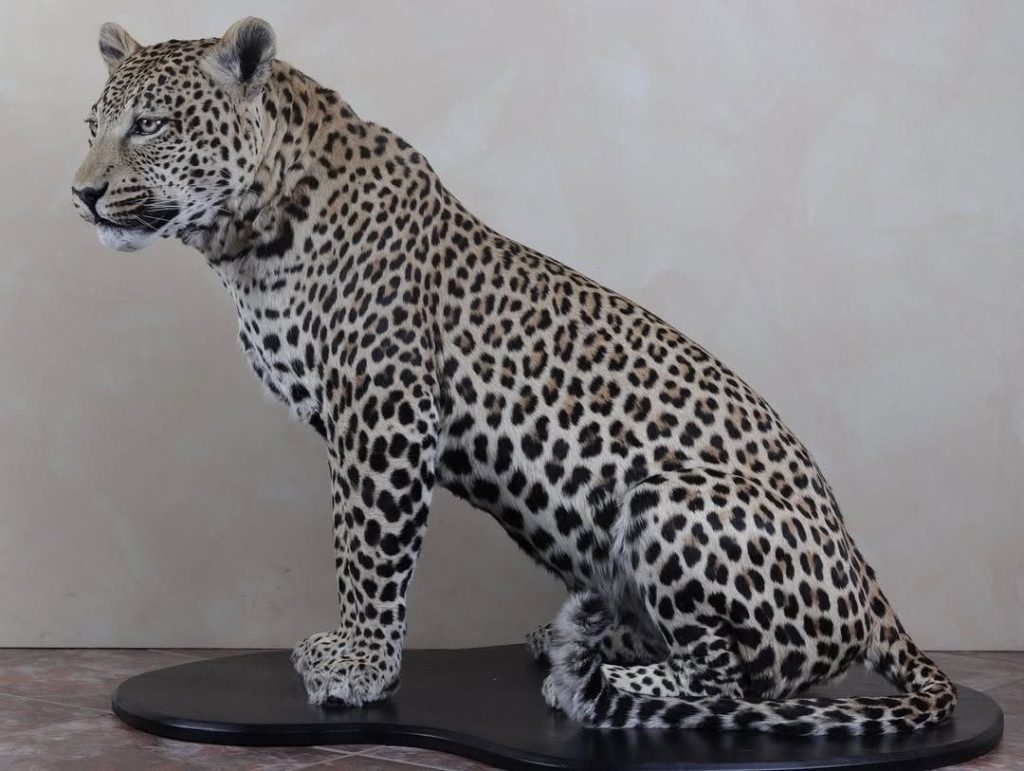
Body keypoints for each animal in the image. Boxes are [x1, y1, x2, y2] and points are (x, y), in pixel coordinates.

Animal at [71, 17, 956, 735]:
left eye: (148, 125)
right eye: (91, 126)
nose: (80, 193)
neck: (245, 239)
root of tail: (869, 585)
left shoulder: (385, 408)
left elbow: (367, 549)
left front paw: (361, 667)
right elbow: (352, 537)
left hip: (671, 496)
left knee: (733, 680)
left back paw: (598, 680)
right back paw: (582, 637)